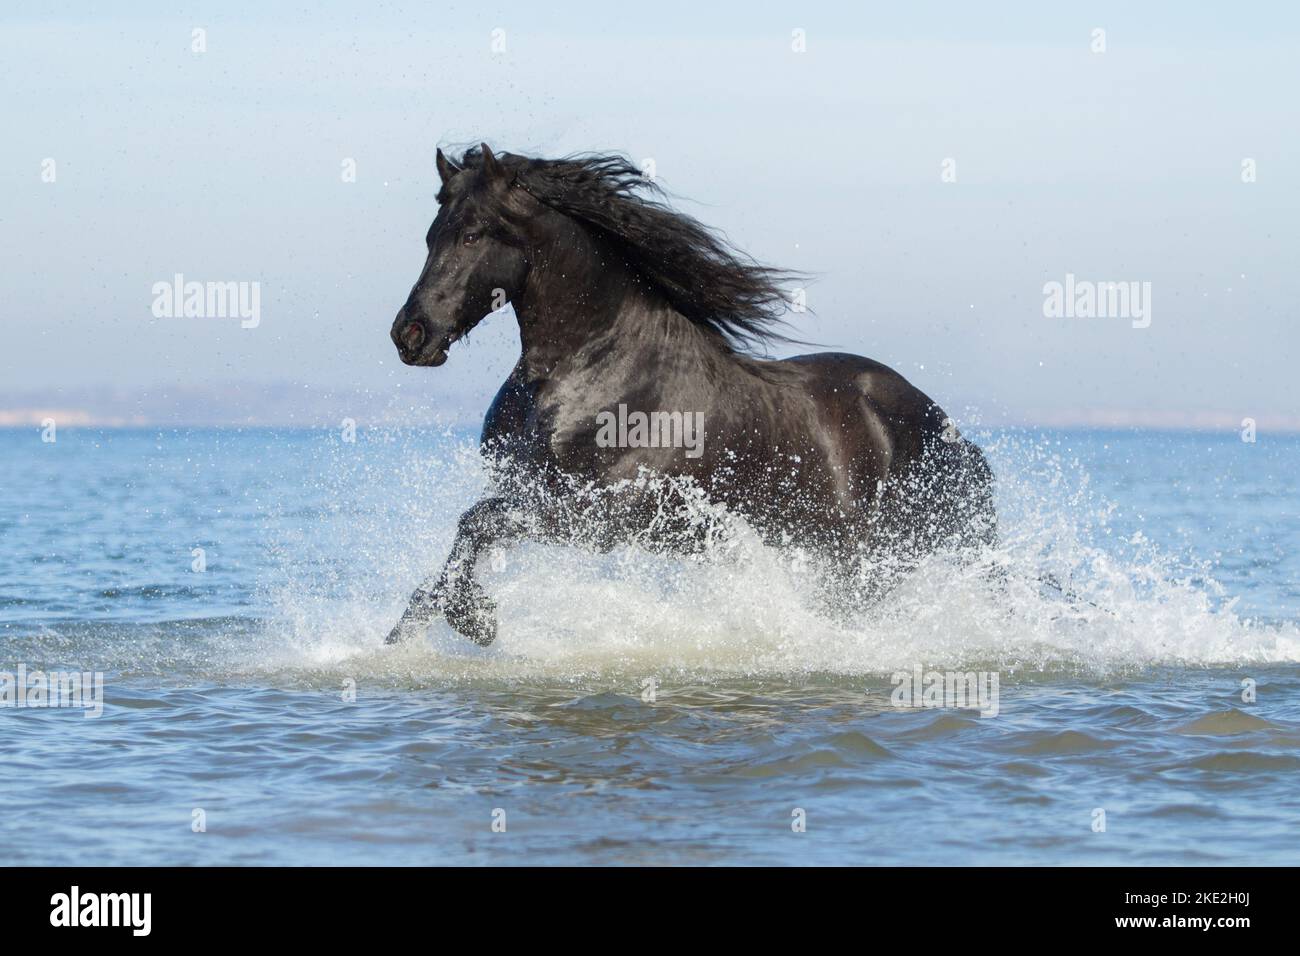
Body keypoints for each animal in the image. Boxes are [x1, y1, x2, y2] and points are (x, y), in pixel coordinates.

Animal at [385, 144, 996, 646]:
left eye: (471, 234)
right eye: (430, 235)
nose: (410, 335)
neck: (597, 368)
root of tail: (940, 424)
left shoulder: (598, 518)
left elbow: (480, 521)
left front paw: (476, 621)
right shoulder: (529, 489)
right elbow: (469, 530)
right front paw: (413, 625)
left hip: (860, 564)